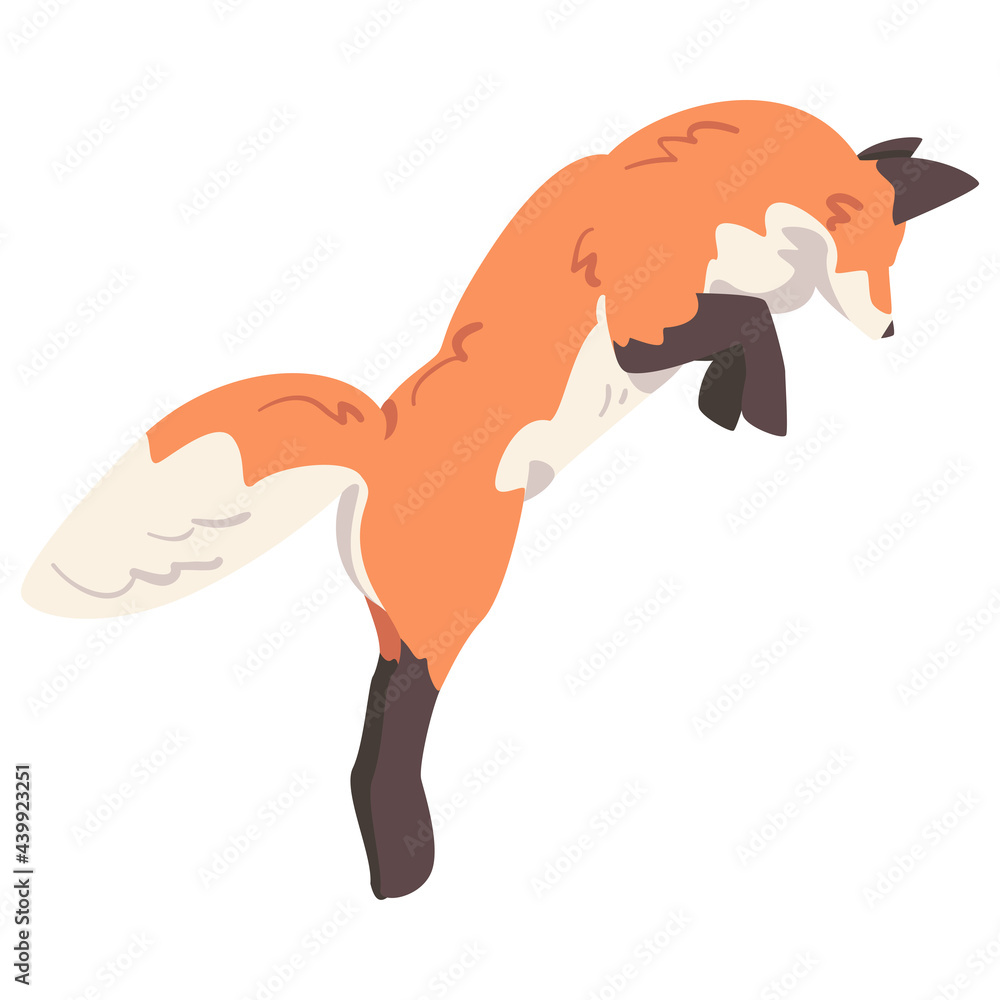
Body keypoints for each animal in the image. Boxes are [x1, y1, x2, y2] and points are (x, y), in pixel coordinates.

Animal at [23, 100, 978, 898]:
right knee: (380, 758)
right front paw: (766, 409)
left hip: (401, 618)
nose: (893, 328)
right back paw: (406, 874)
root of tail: (379, 437)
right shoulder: (642, 324)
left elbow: (744, 335)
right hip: (455, 609)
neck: (710, 201)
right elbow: (753, 324)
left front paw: (728, 405)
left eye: (897, 252)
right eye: (862, 239)